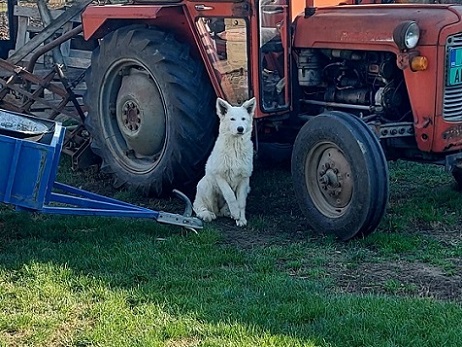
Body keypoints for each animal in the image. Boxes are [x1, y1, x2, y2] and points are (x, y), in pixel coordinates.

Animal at [192, 97, 256, 228]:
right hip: (206, 185)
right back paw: (207, 214)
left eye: (243, 119)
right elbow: (230, 195)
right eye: (232, 119)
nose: (240, 129)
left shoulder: (244, 179)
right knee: (199, 206)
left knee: (220, 211)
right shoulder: (220, 176)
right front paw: (236, 213)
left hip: (247, 188)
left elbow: (241, 201)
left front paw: (241, 218)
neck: (235, 146)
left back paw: (227, 212)